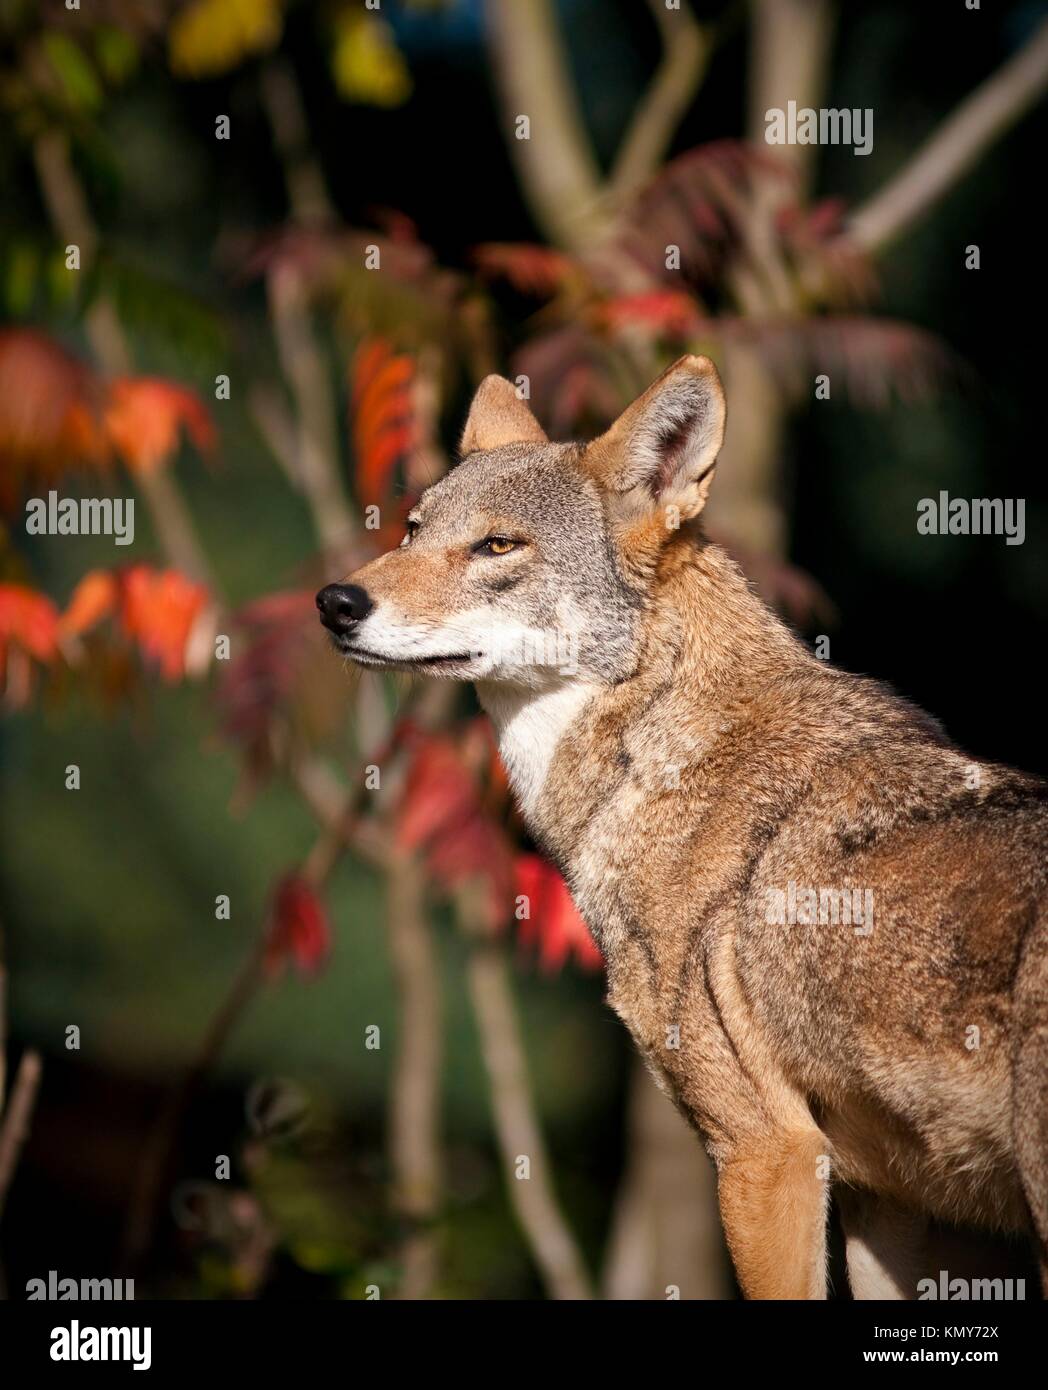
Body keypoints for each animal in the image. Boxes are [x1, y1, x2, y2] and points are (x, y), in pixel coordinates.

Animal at [317, 356, 1048, 1299]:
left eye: (498, 546)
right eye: (412, 529)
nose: (336, 601)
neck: (655, 755)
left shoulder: (765, 1151)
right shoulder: (889, 1198)